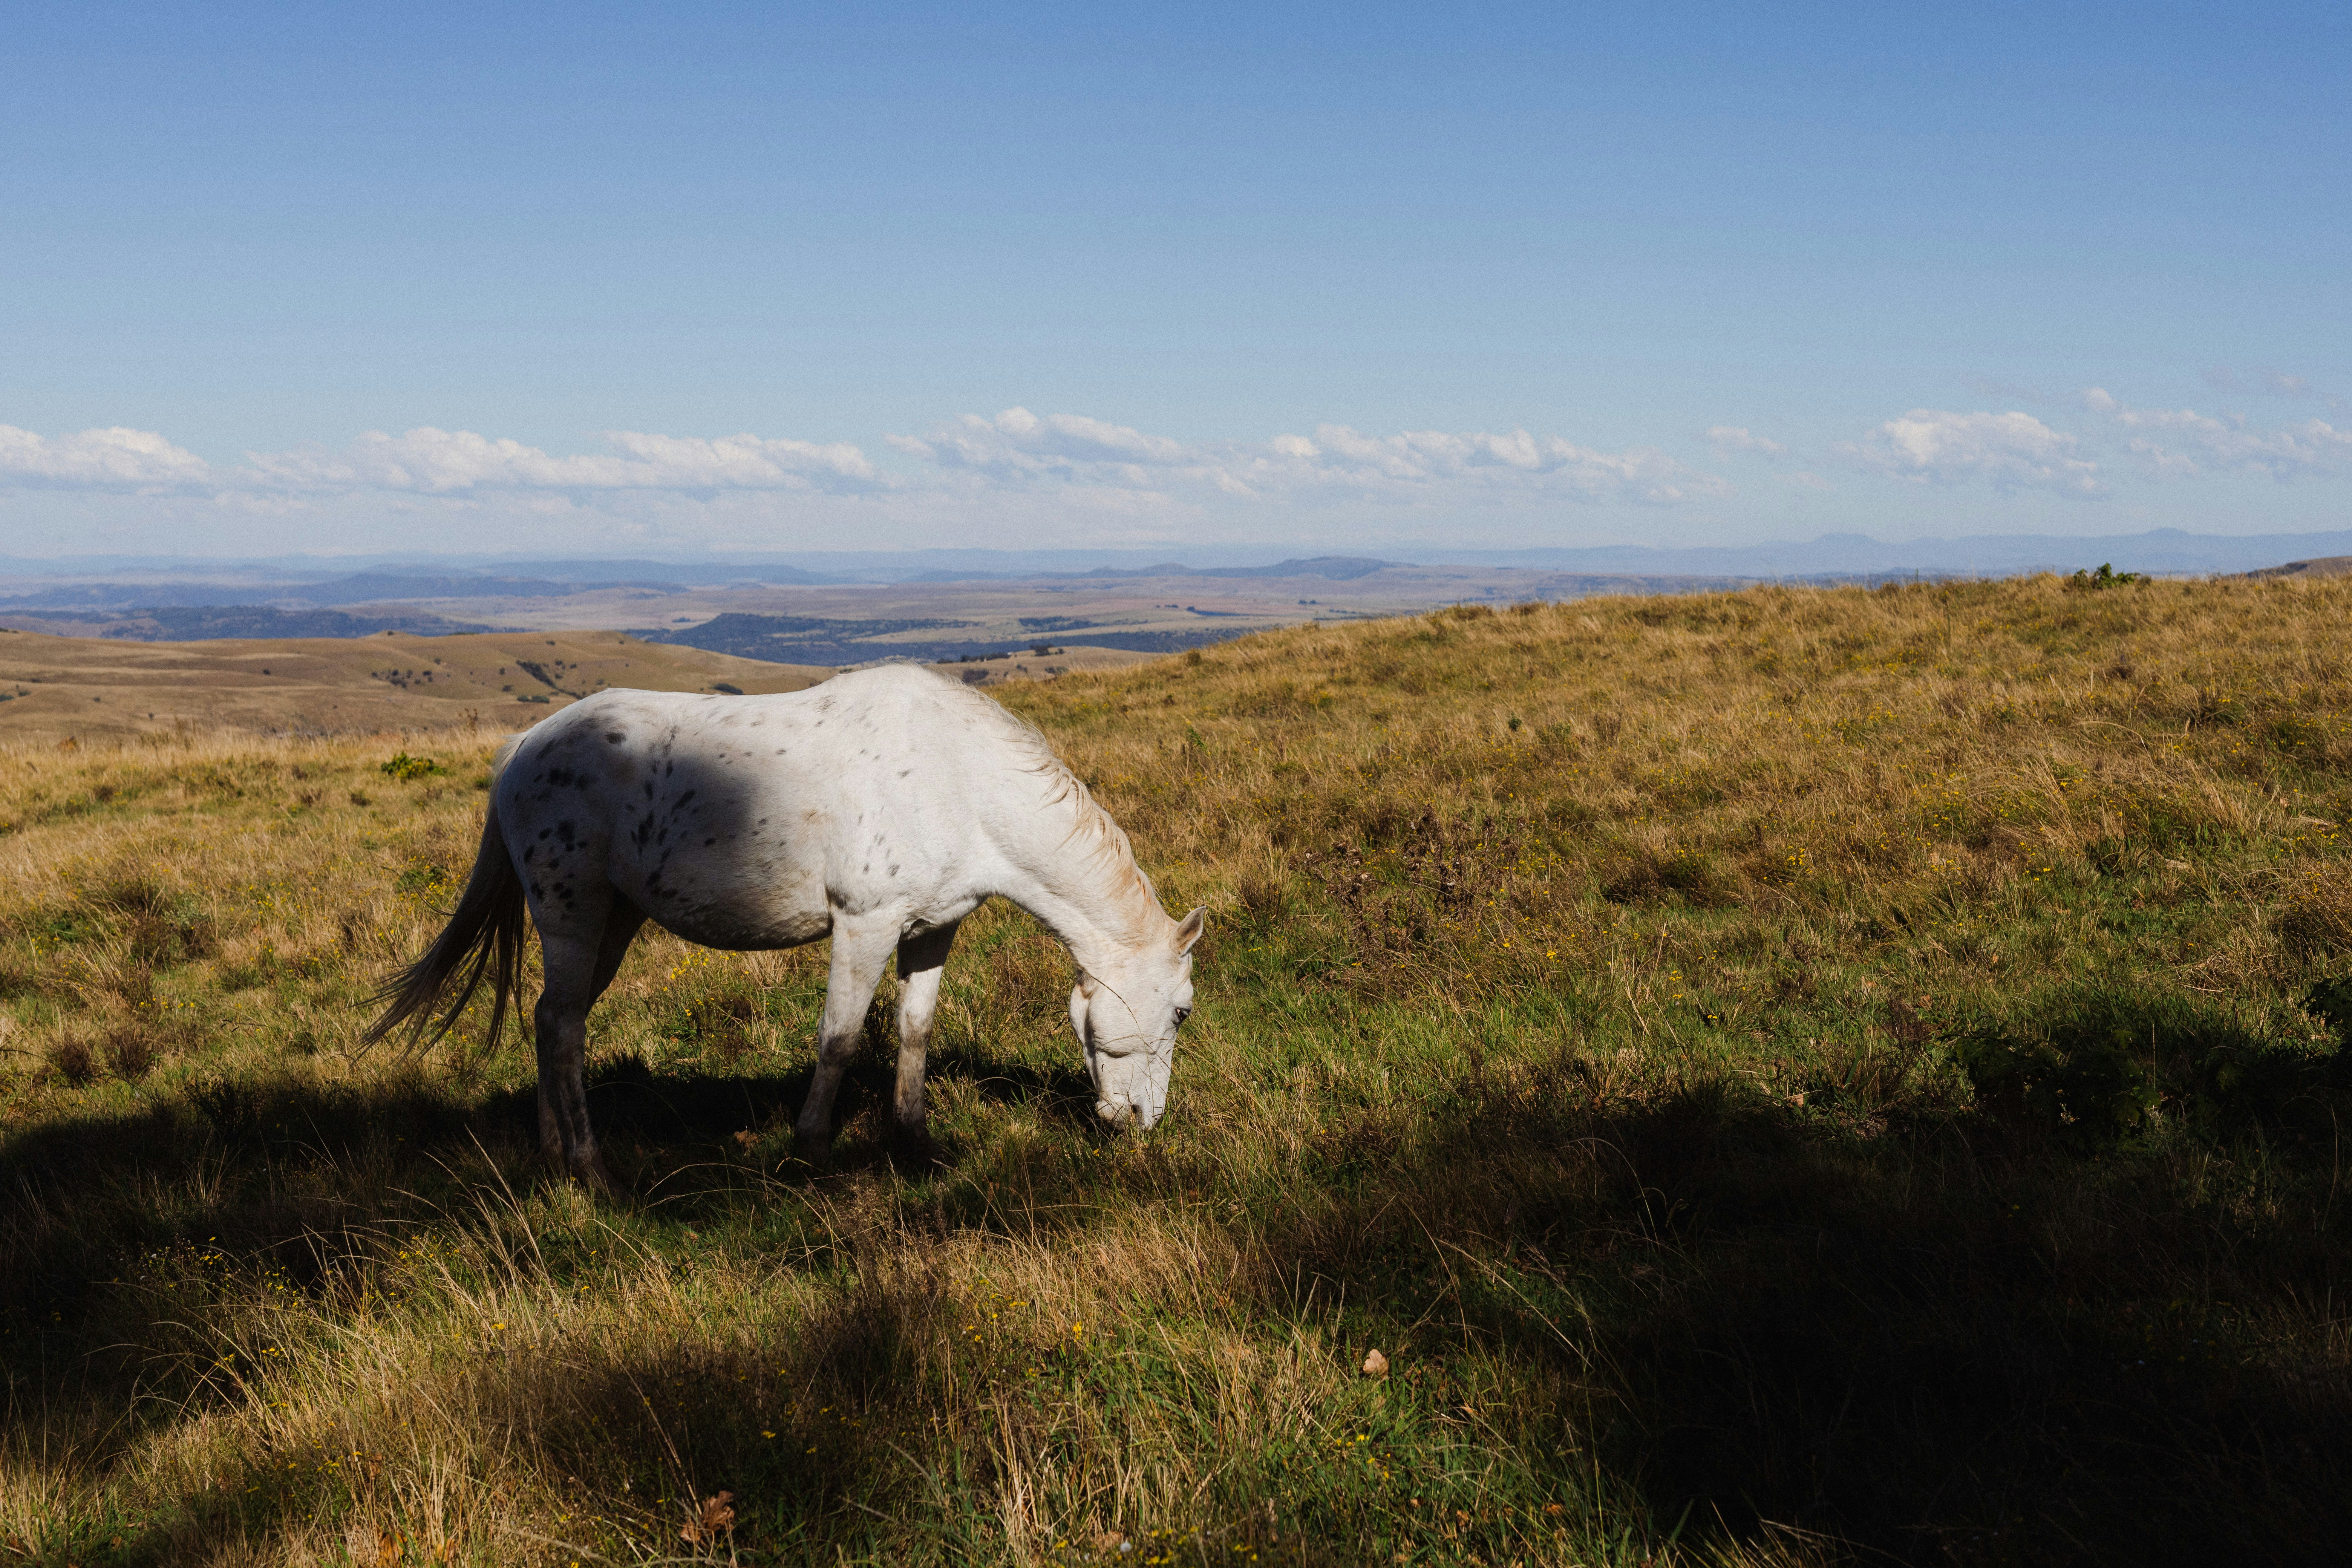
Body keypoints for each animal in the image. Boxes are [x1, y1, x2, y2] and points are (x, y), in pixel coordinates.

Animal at [368, 665, 1204, 1190]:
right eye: (1183, 1011)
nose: (1144, 1121)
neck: (959, 781)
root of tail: (521, 751)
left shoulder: (931, 931)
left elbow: (914, 1031)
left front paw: (915, 1143)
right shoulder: (865, 926)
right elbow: (838, 1037)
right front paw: (809, 1150)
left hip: (614, 920)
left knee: (552, 1020)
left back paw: (553, 1159)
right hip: (573, 917)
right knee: (564, 1027)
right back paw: (592, 1169)